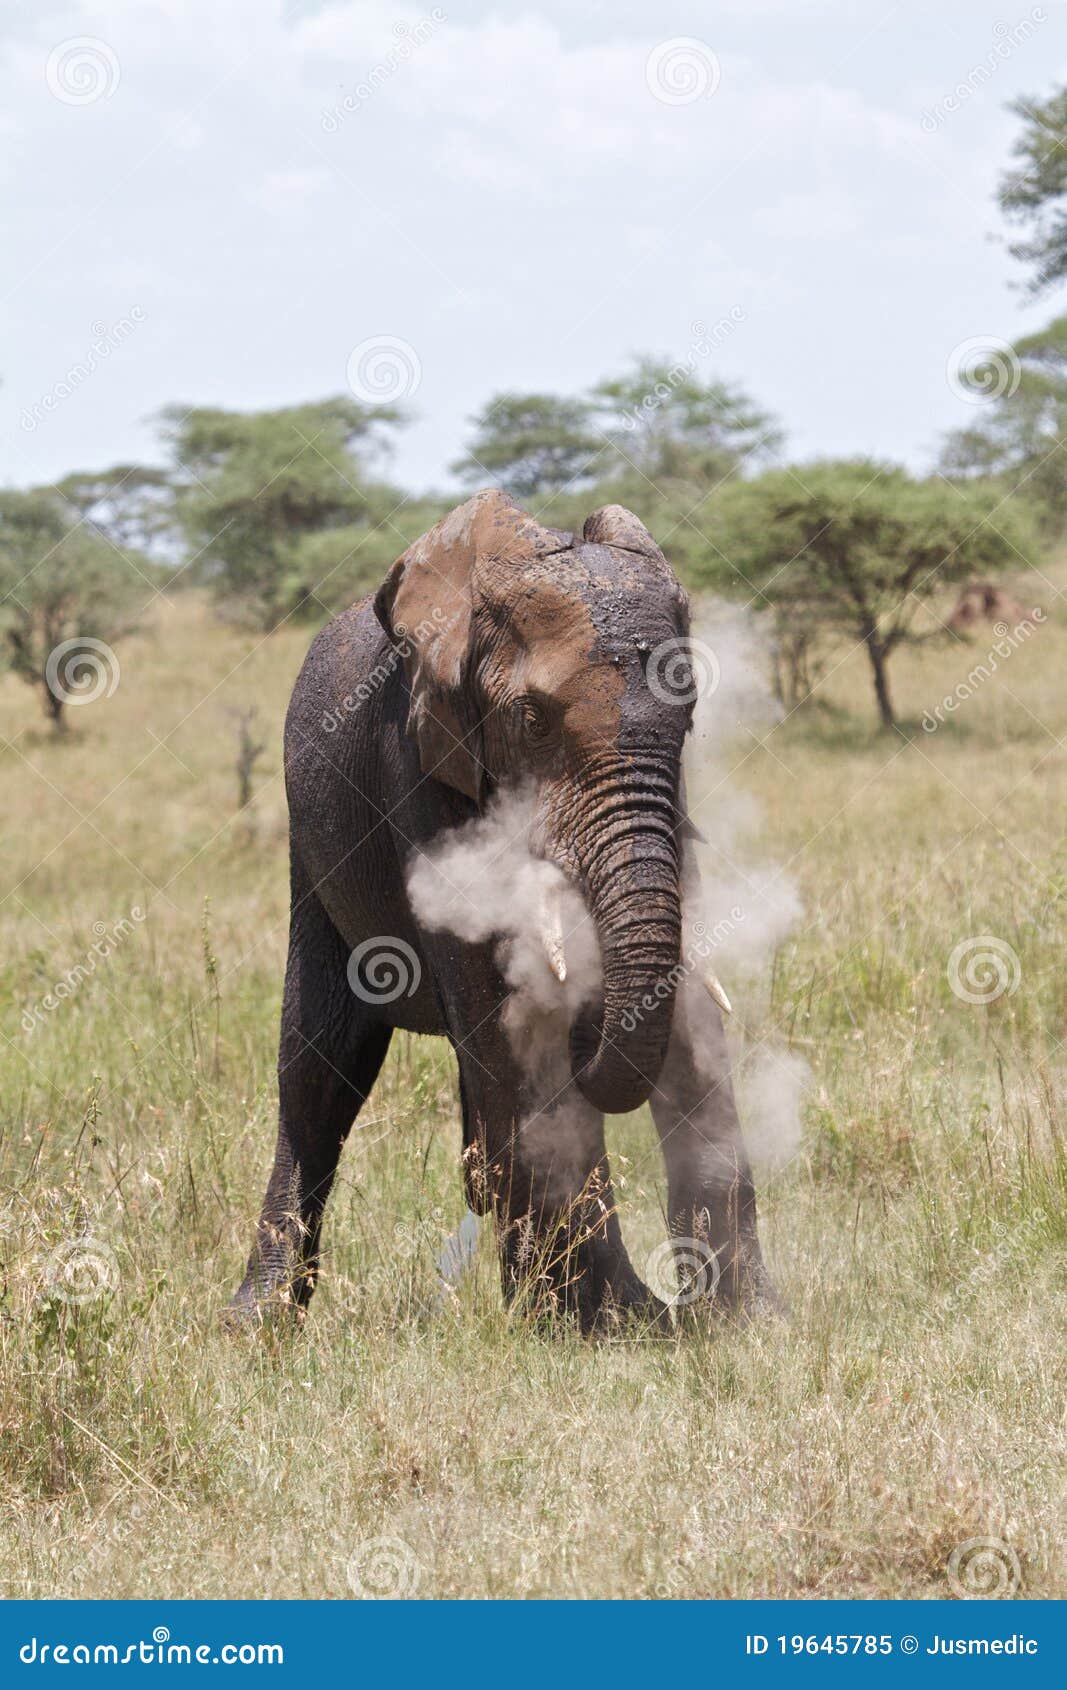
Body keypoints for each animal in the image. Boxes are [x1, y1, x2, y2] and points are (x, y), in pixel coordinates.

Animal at [228, 489, 776, 1332]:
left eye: (688, 721)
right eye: (531, 720)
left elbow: (688, 1021)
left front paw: (745, 1321)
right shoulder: (417, 758)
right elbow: (496, 1007)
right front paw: (599, 1325)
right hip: (309, 848)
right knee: (320, 1071)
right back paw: (261, 1323)